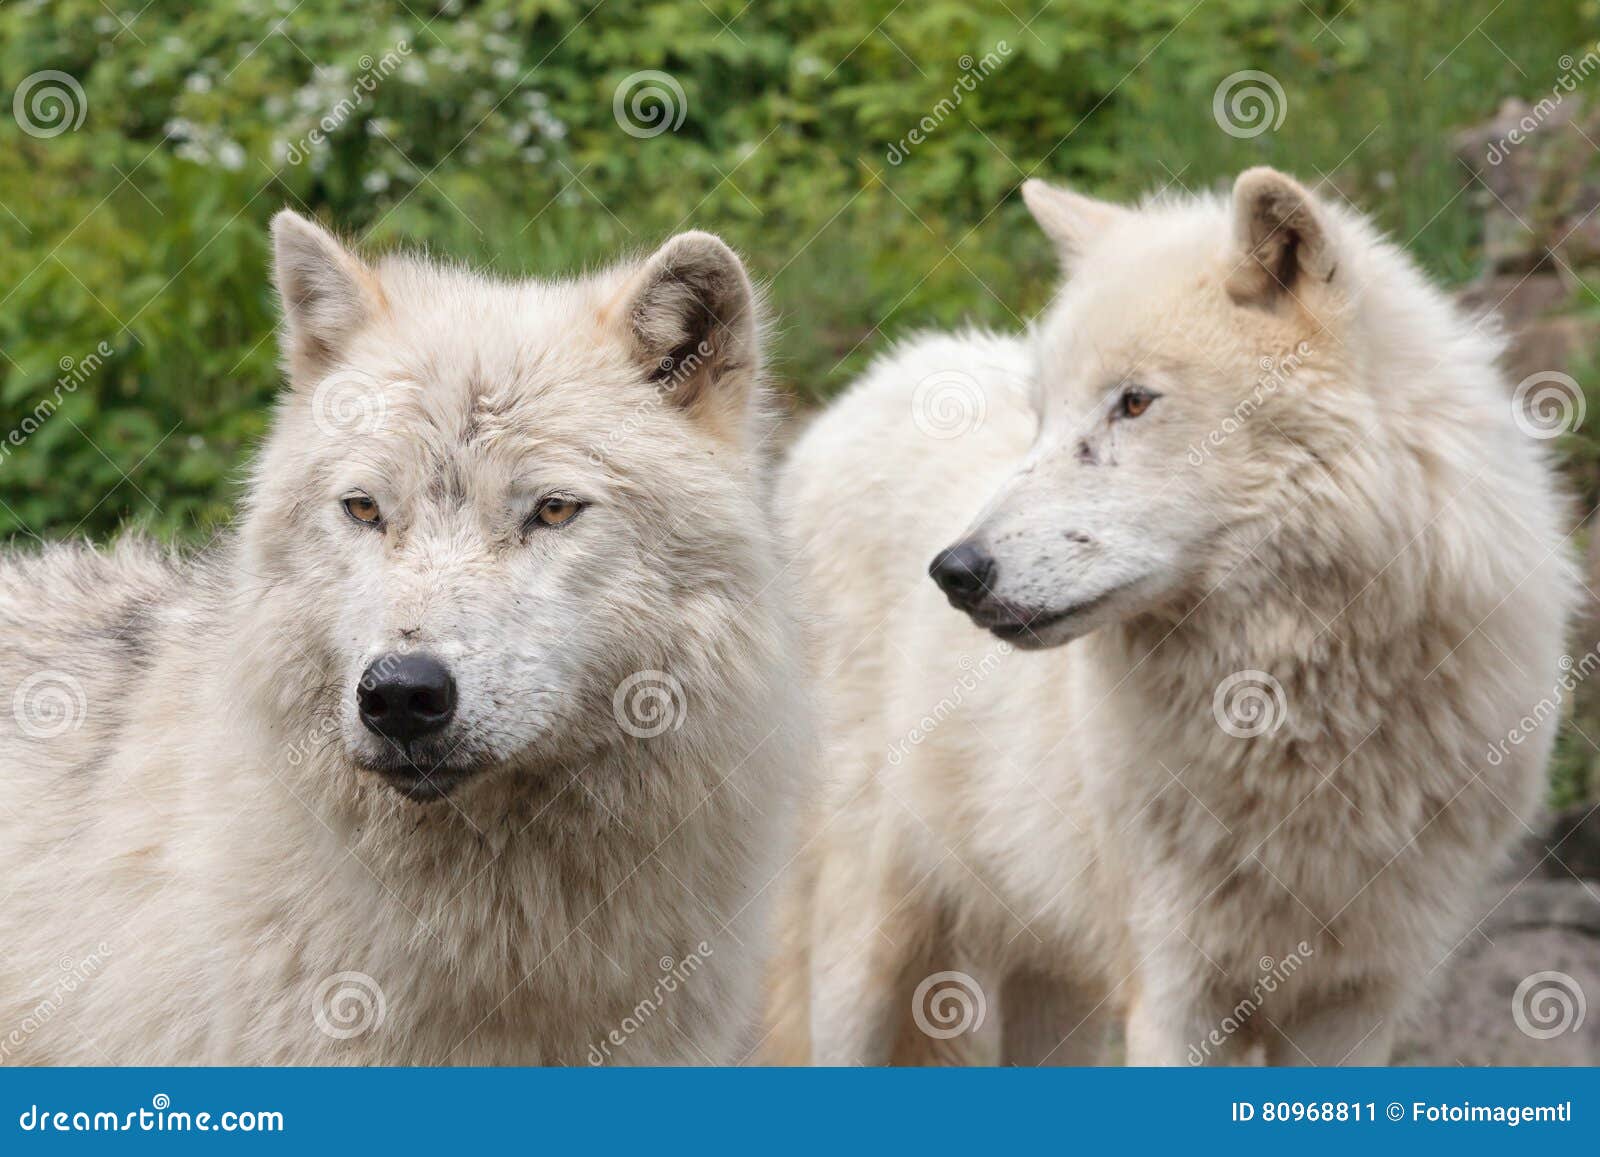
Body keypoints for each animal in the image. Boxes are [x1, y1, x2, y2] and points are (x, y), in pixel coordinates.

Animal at [768, 168, 1577, 1065]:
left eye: (1133, 402)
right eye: (1041, 418)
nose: (956, 572)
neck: (1295, 715)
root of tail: (861, 388)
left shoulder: (1358, 1000)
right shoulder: (1172, 992)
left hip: (1054, 985)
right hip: (863, 956)